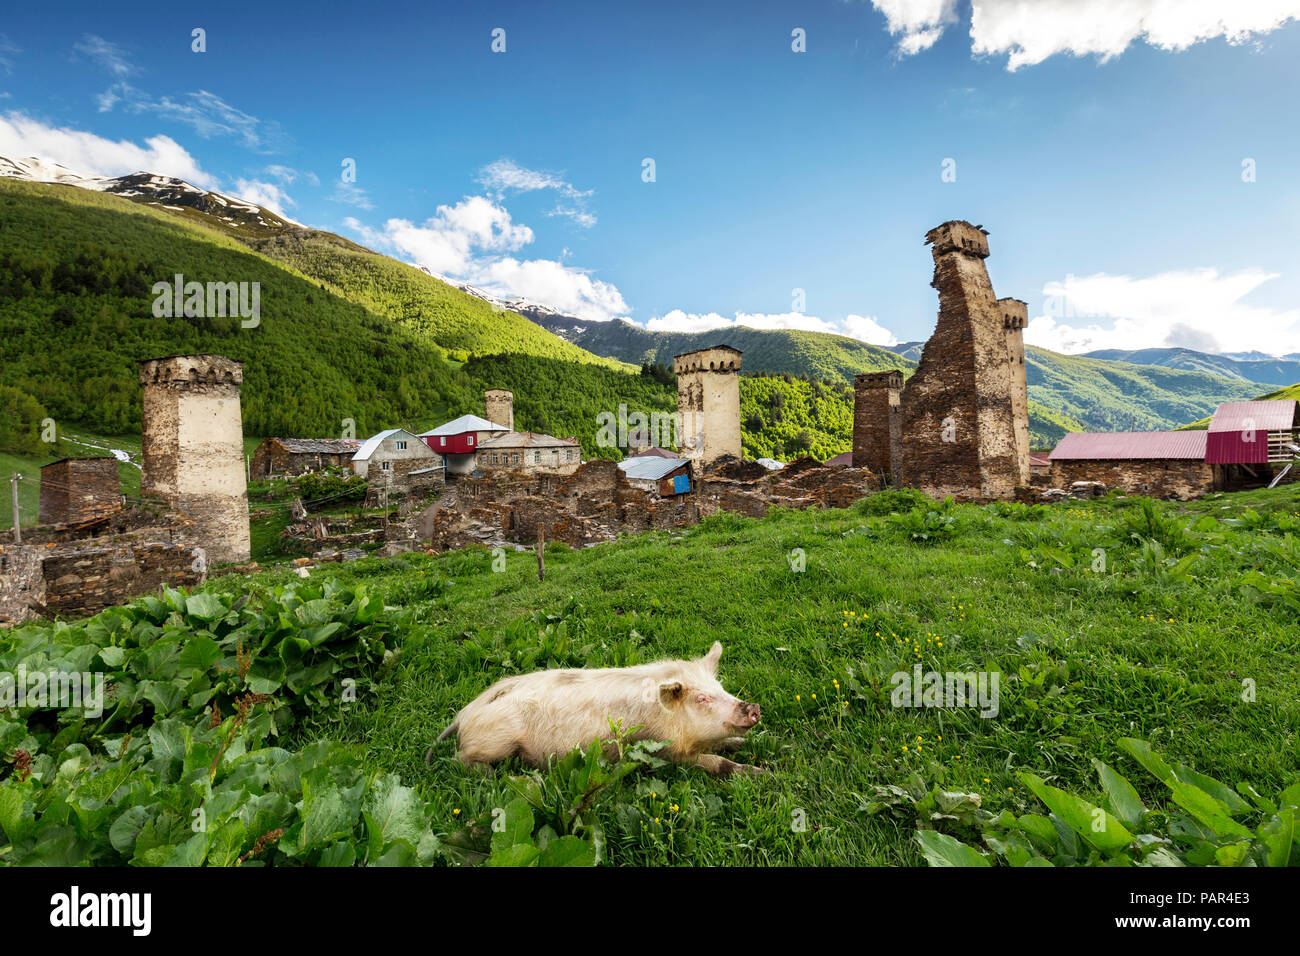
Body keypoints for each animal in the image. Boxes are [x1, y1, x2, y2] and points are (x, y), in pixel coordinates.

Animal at [429, 641, 763, 777]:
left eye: (721, 688)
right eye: (701, 699)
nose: (754, 707)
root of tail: (463, 715)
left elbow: (728, 744)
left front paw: (750, 745)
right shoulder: (663, 752)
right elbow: (717, 763)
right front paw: (762, 774)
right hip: (496, 740)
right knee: (460, 759)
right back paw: (491, 775)